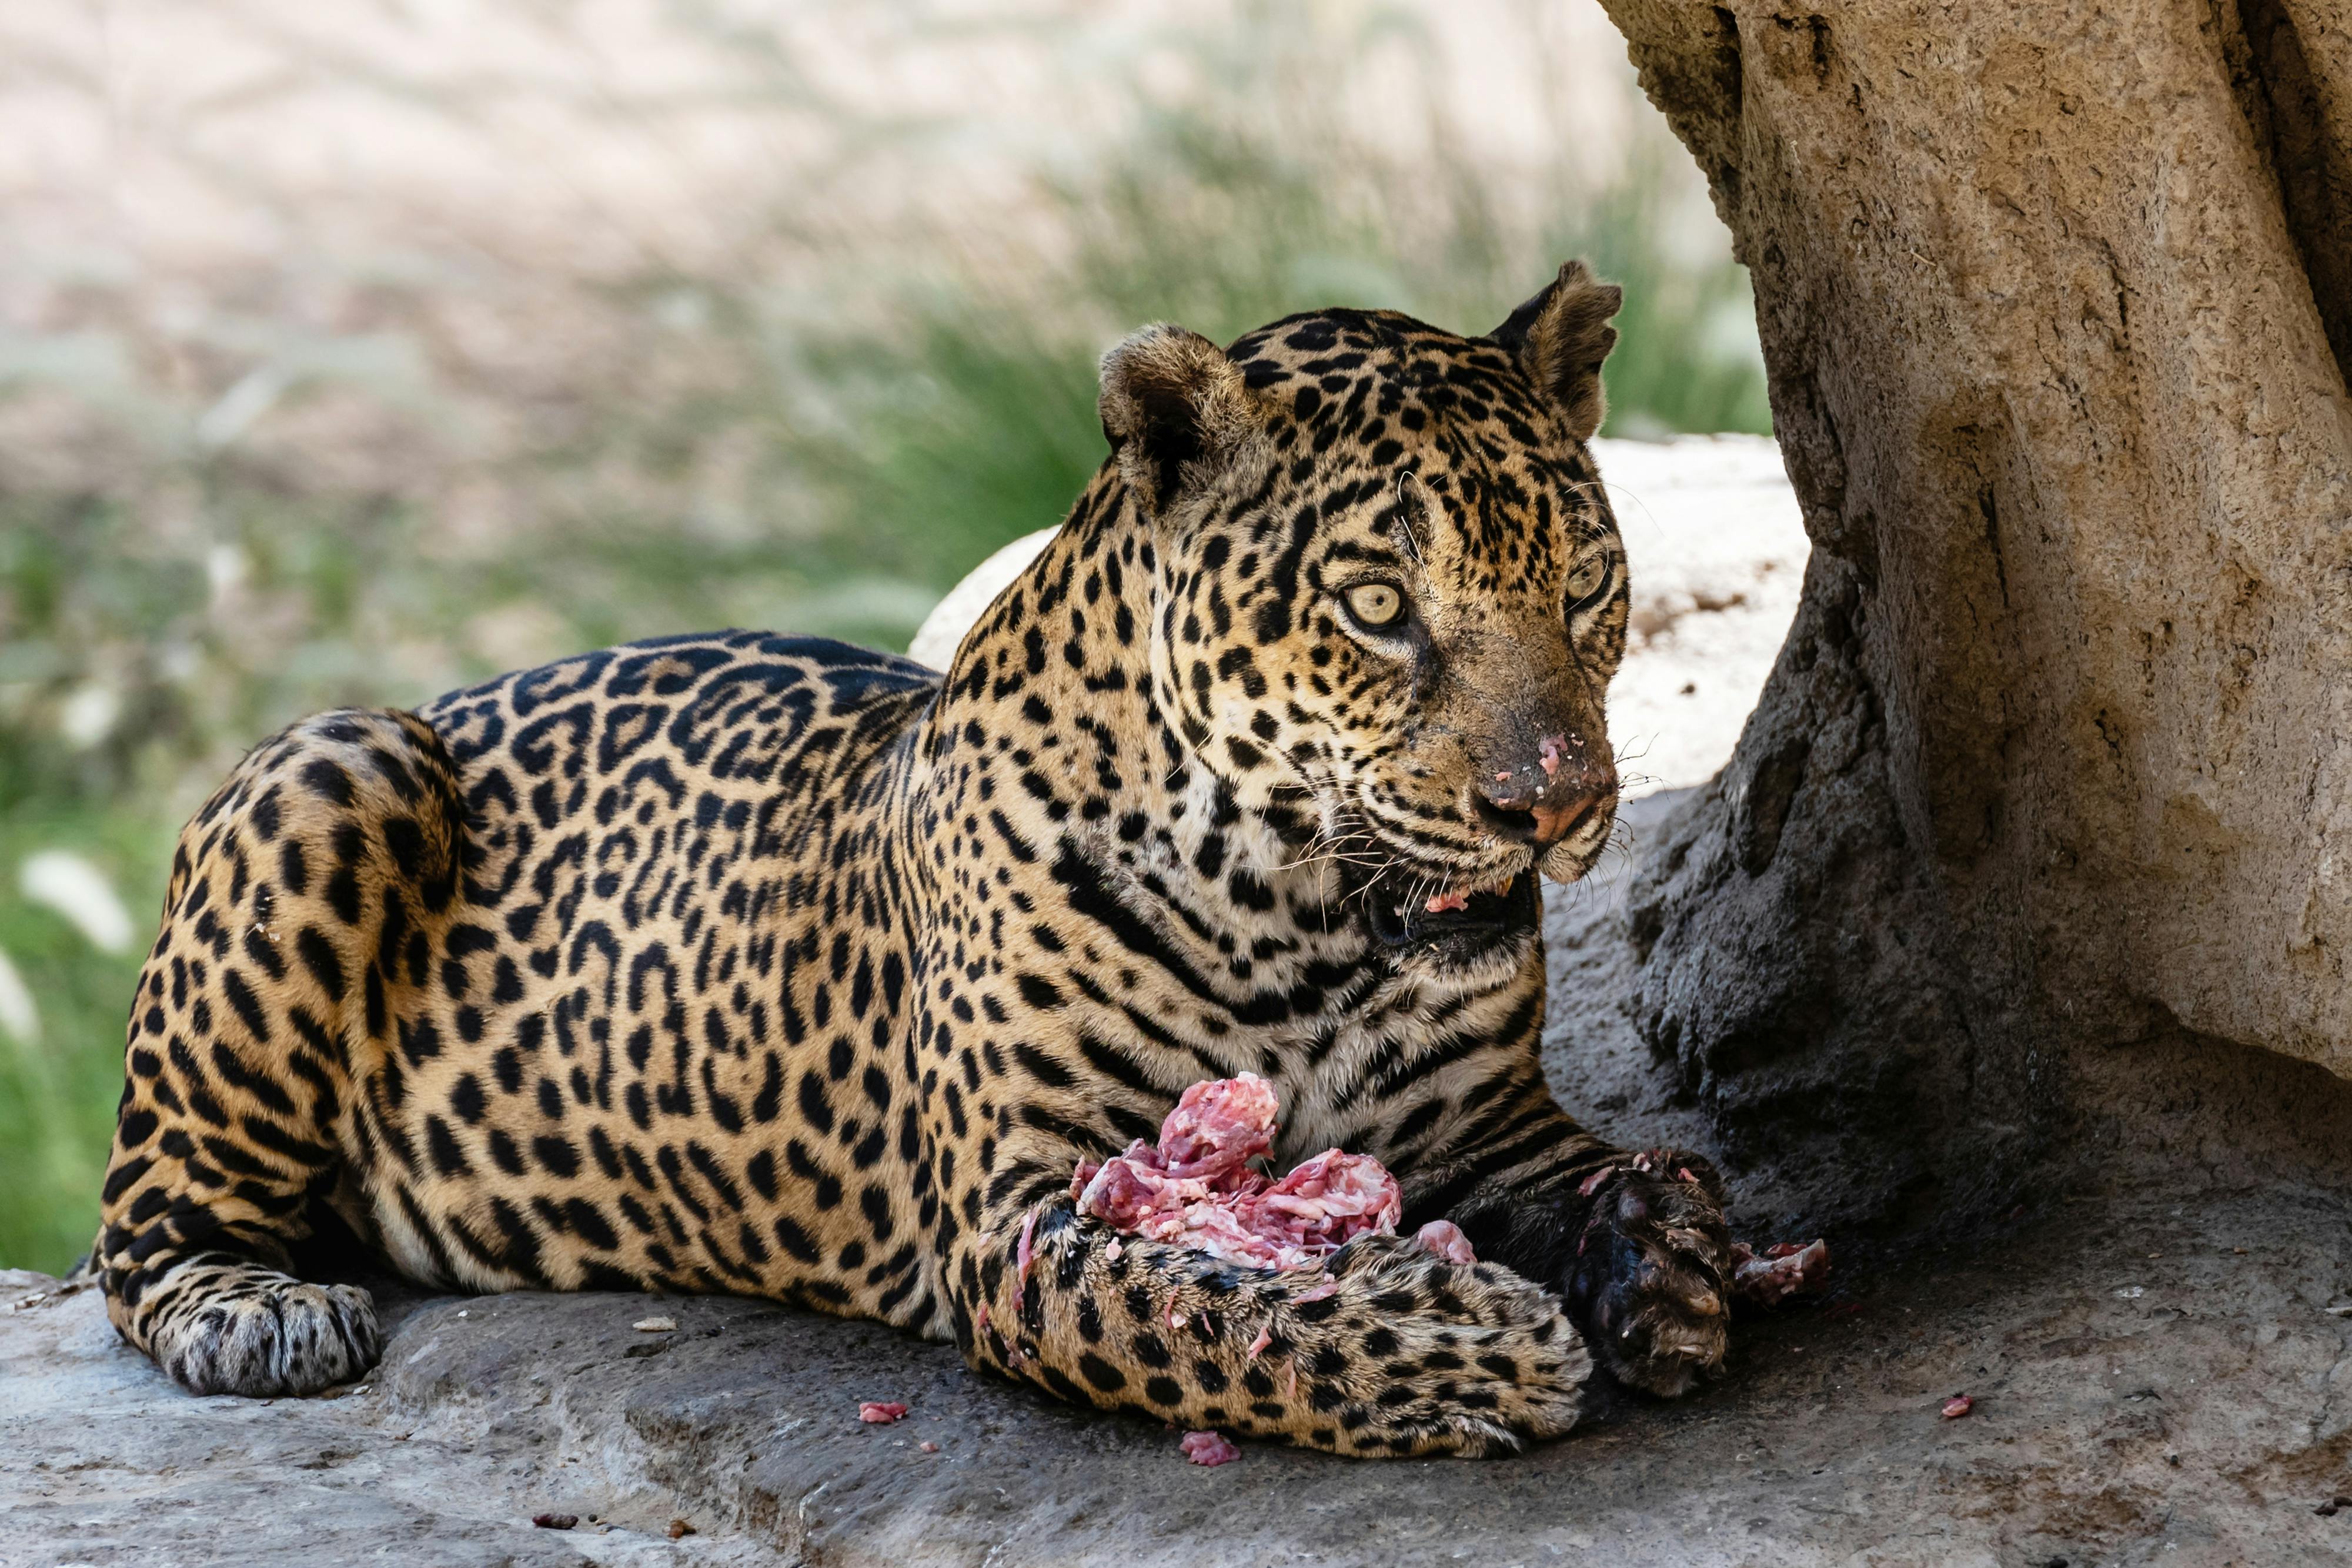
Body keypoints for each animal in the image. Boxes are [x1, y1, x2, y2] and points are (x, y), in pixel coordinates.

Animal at [92, 260, 1735, 1458]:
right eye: (1379, 605)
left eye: (1586, 583)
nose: (1557, 806)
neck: (1305, 919)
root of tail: (451, 694)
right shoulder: (1017, 1212)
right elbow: (1212, 1311)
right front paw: (1469, 1349)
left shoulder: (1488, 1127)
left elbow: (1605, 1174)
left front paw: (1667, 1261)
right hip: (332, 766)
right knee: (140, 1226)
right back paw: (259, 1313)